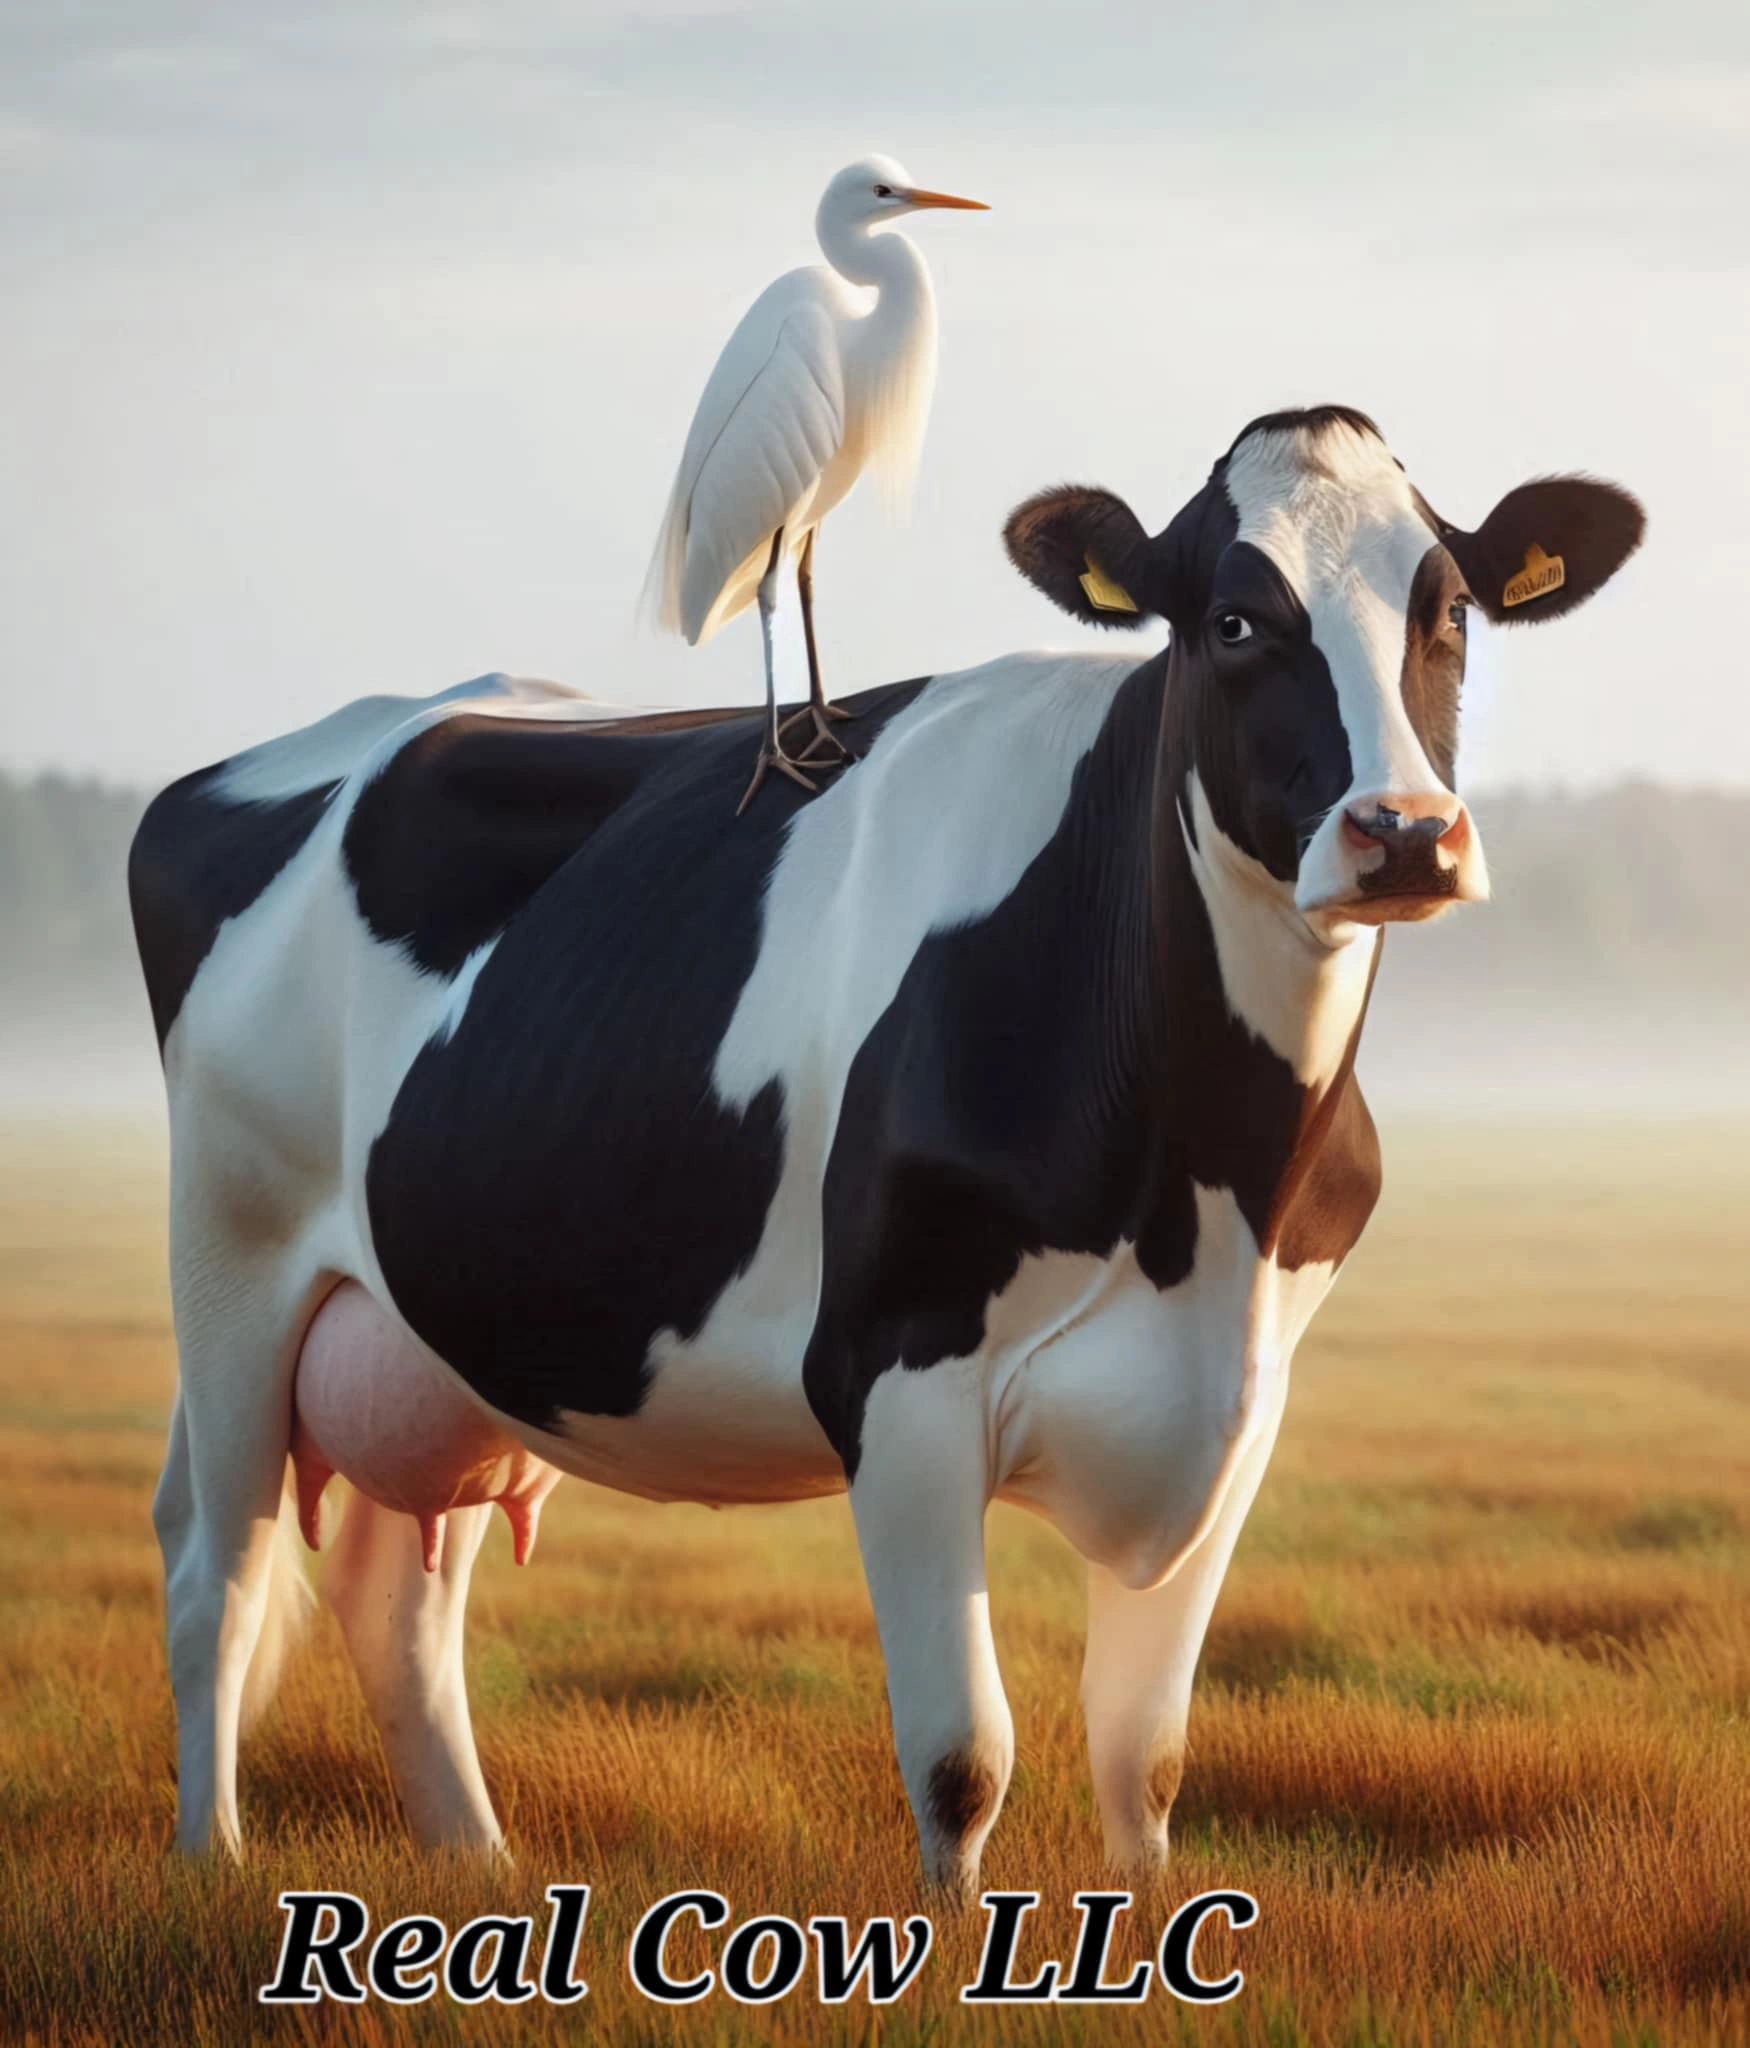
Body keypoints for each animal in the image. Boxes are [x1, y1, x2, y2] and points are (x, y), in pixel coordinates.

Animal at [129, 404, 1641, 1892]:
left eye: (1448, 610)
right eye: (1231, 620)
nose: (1404, 833)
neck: (1204, 1193)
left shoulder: (1232, 1401)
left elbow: (1144, 1757)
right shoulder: (897, 1377)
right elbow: (963, 1756)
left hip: (437, 1331)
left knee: (399, 1587)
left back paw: (480, 1865)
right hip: (232, 1256)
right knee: (219, 1565)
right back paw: (214, 1862)